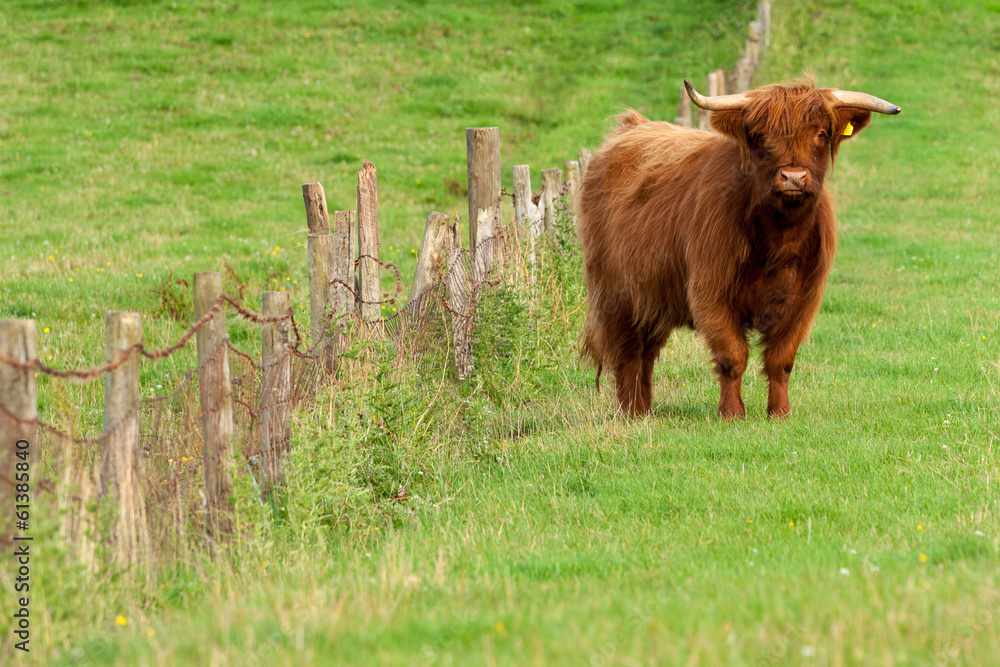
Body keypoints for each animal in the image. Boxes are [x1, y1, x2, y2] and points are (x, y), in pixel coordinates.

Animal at [578, 79, 900, 418]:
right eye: (761, 136)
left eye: (822, 133)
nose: (793, 177)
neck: (780, 240)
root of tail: (631, 126)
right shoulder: (711, 291)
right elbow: (732, 355)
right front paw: (732, 413)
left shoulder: (803, 300)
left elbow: (781, 360)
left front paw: (780, 413)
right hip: (615, 294)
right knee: (627, 352)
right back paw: (630, 412)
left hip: (655, 297)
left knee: (647, 352)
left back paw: (644, 408)